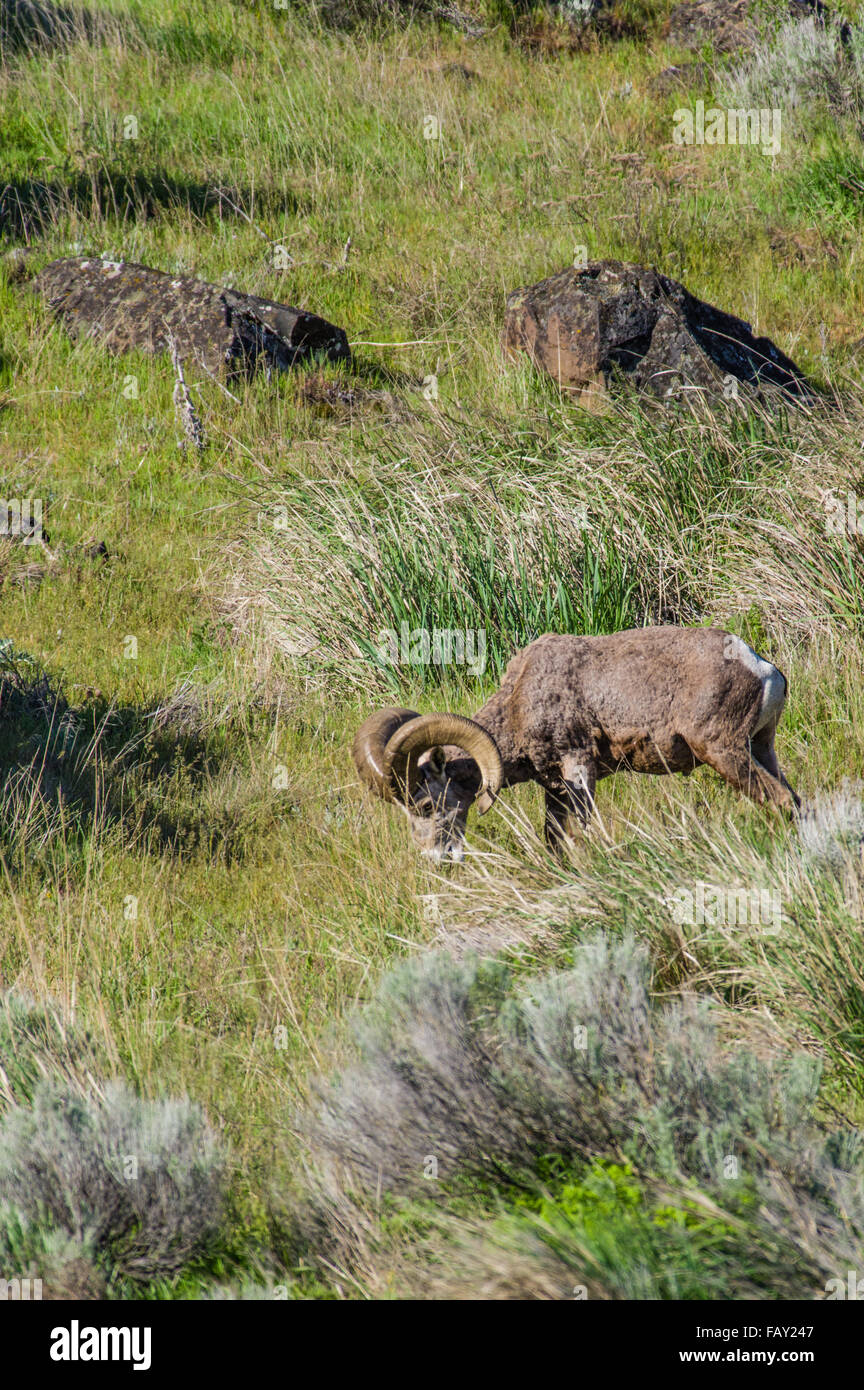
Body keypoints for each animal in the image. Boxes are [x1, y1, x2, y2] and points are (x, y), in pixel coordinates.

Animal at [352, 626, 799, 860]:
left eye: (427, 805)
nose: (438, 859)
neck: (520, 700)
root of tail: (762, 668)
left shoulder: (578, 766)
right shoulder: (554, 788)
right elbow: (554, 840)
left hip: (724, 752)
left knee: (779, 800)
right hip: (761, 748)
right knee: (791, 799)